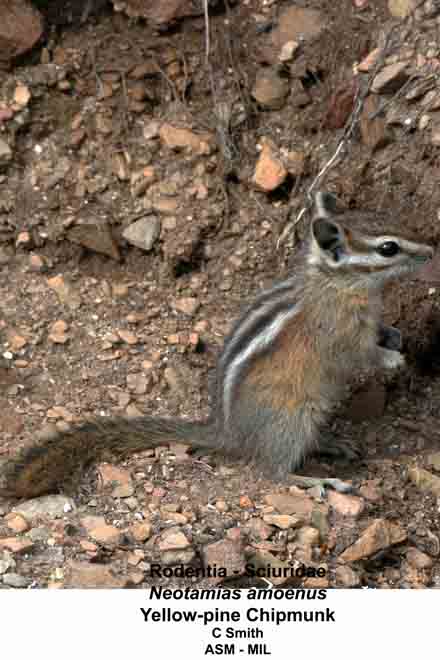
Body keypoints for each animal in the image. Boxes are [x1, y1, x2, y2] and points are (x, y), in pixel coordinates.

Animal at [0, 192, 434, 499]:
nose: (431, 251)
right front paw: (391, 359)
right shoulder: (339, 334)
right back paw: (318, 481)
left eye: (390, 218)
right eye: (388, 248)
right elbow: (361, 355)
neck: (336, 282)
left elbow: (379, 332)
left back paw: (332, 444)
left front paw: (394, 336)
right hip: (292, 418)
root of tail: (227, 433)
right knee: (274, 471)